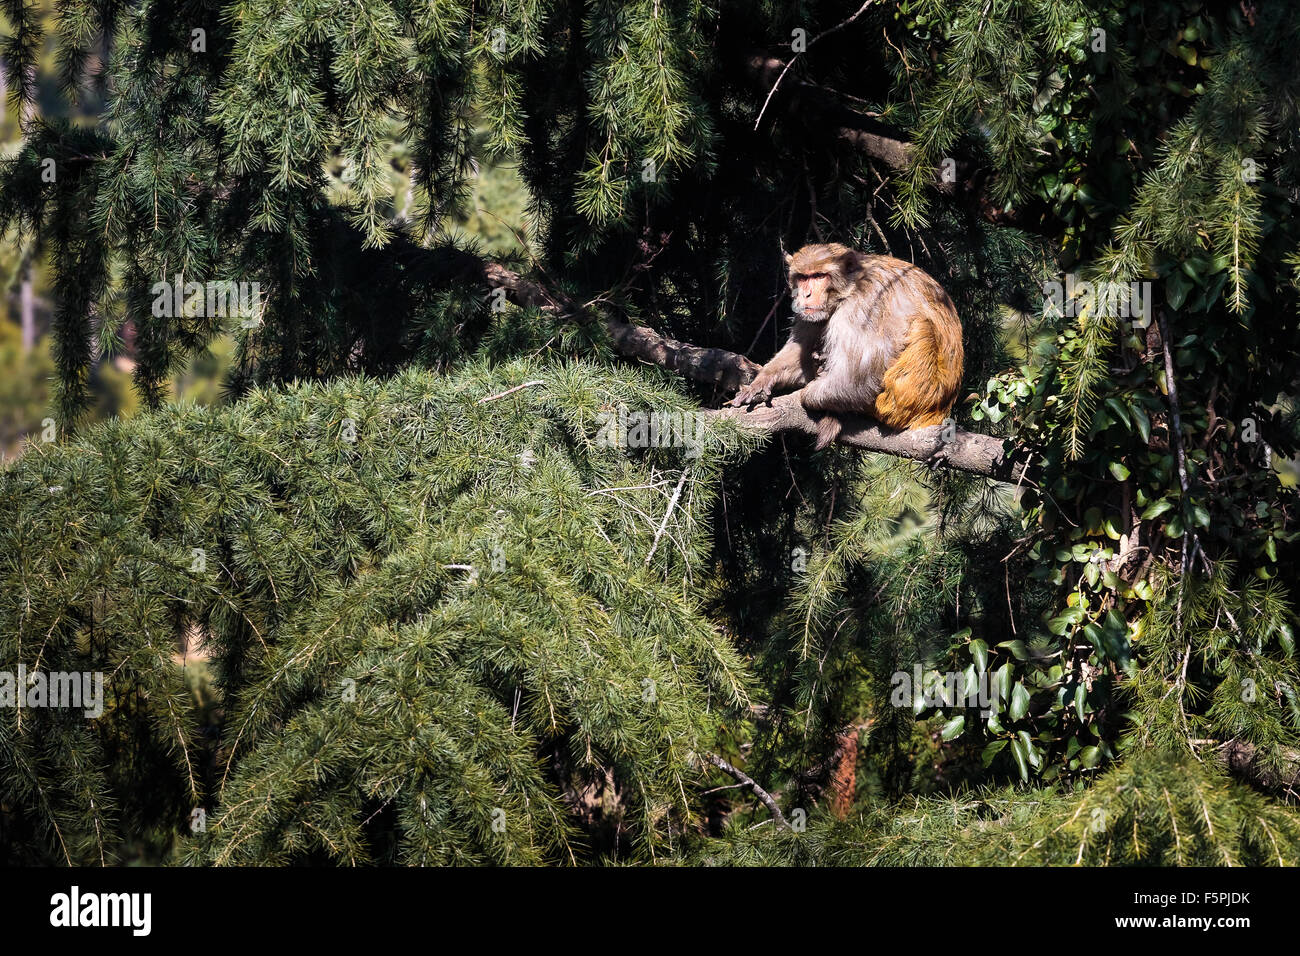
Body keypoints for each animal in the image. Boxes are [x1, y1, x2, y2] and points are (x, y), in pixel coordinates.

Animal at [729, 243, 963, 450]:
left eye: (819, 276)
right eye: (803, 277)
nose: (805, 294)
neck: (852, 286)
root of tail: (939, 410)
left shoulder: (862, 306)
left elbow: (858, 375)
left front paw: (806, 395)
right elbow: (801, 349)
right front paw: (762, 380)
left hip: (911, 395)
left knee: (922, 328)